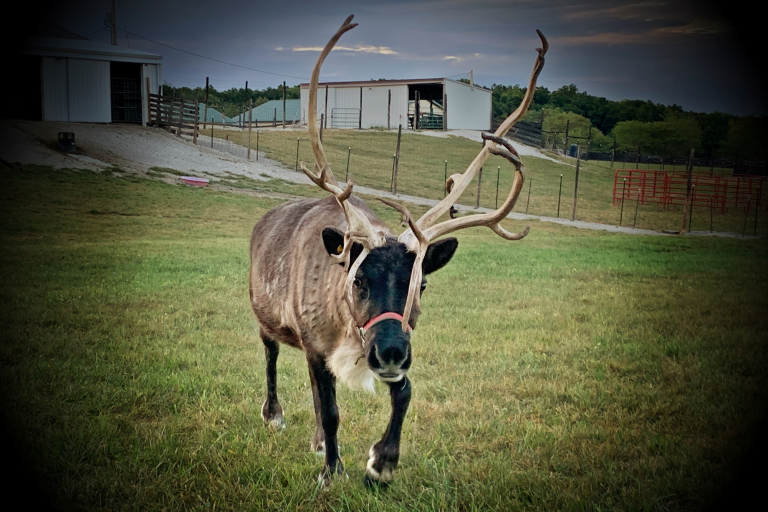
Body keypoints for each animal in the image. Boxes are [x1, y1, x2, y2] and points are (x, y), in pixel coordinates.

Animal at [248, 15, 547, 487]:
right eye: (358, 280)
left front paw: (382, 461)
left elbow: (404, 392)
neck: (346, 331)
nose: (389, 352)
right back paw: (275, 415)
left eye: (421, 285)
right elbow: (331, 410)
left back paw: (317, 441)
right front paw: (332, 471)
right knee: (272, 355)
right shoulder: (316, 344)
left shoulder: (390, 350)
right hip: (265, 316)